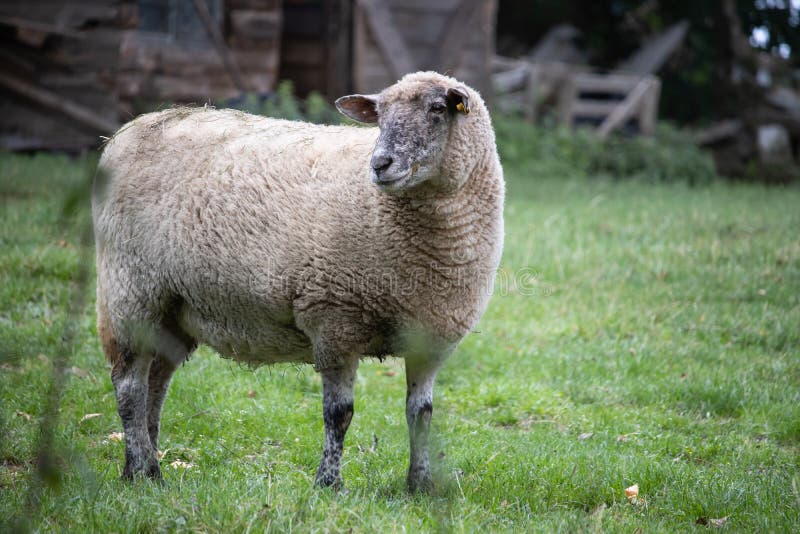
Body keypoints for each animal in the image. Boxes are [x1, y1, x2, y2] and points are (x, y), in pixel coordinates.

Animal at [92, 71, 505, 491]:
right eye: (379, 116)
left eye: (437, 108)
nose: (380, 164)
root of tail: (129, 129)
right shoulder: (335, 321)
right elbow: (339, 414)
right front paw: (329, 484)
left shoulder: (430, 341)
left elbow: (420, 414)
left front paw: (420, 486)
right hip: (129, 290)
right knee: (129, 387)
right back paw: (139, 469)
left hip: (172, 307)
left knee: (156, 383)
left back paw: (147, 471)